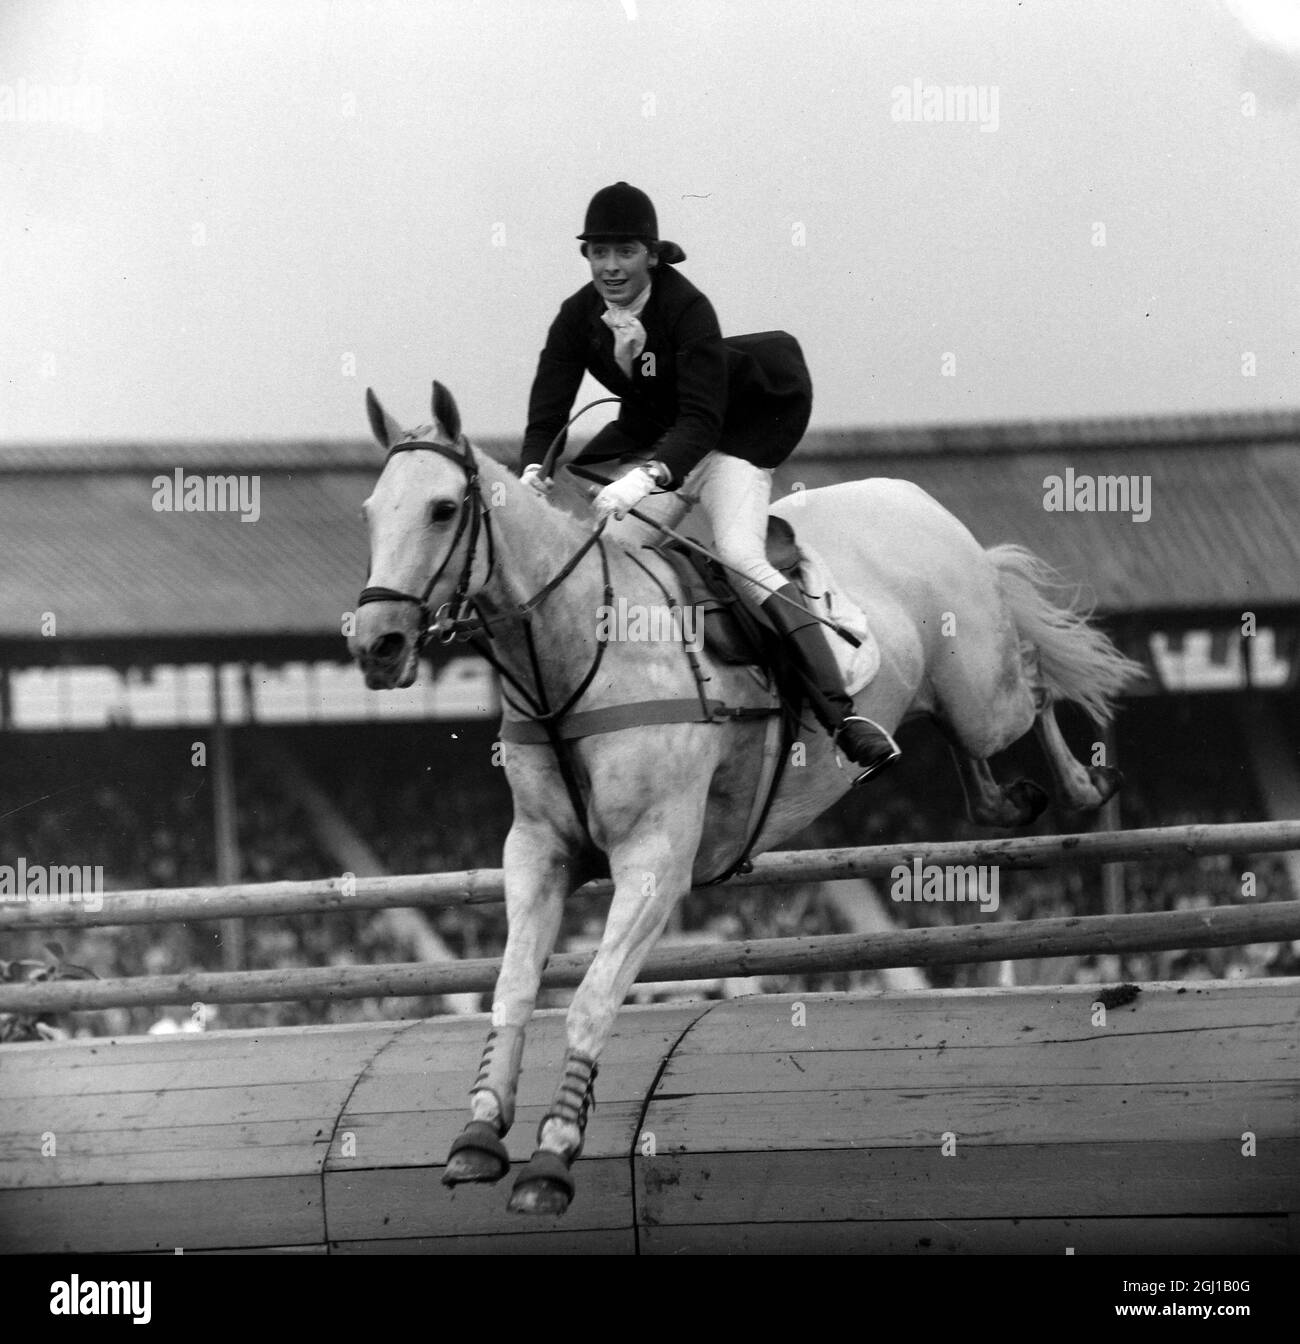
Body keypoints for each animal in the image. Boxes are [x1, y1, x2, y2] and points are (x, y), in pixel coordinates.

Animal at [349, 381, 1143, 1216]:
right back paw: (1005, 802)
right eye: (371, 512)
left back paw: (1087, 782)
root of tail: (917, 501)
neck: (573, 654)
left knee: (1036, 680)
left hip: (984, 685)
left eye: (442, 509)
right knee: (970, 744)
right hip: (946, 696)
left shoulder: (656, 863)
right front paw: (477, 1133)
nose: (377, 648)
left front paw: (553, 1156)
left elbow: (593, 996)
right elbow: (510, 988)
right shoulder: (537, 851)